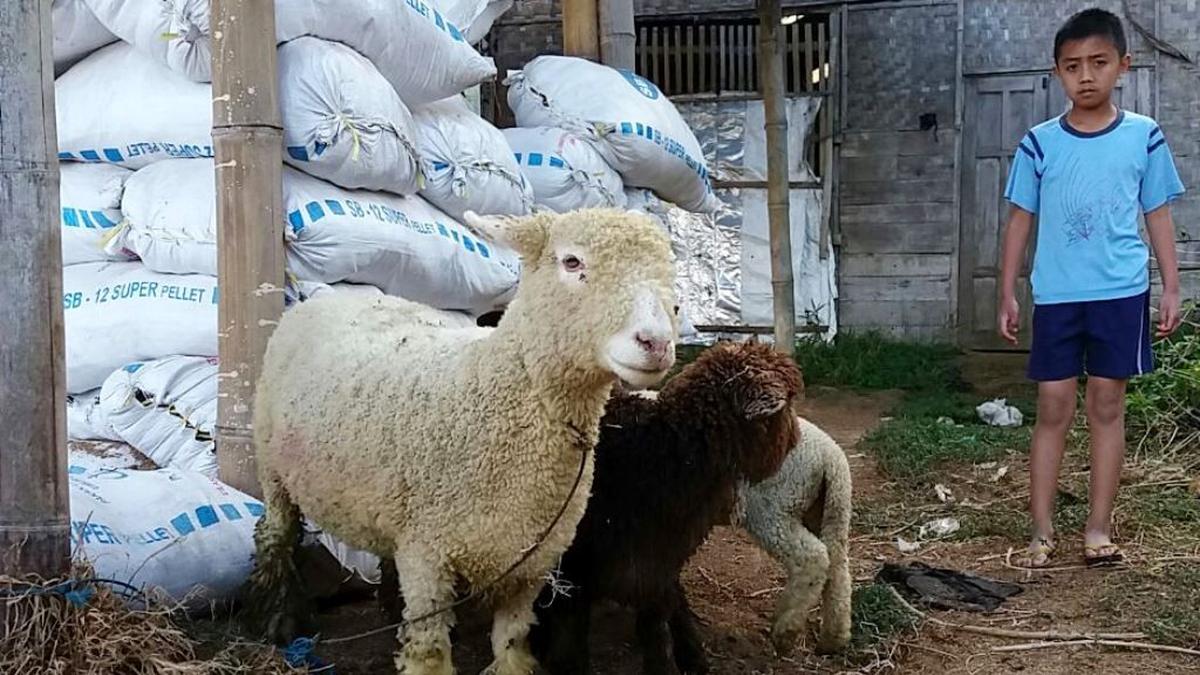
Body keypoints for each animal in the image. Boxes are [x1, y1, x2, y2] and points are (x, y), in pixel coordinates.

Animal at [245, 207, 680, 675]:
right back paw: (279, 619)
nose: (656, 343)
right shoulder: (427, 557)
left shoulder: (531, 562)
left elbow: (512, 641)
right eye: (571, 262)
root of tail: (326, 298)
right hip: (272, 465)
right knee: (274, 534)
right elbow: (430, 653)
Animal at [529, 341, 805, 675]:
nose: (795, 439)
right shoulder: (576, 567)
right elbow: (573, 645)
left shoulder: (658, 564)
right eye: (787, 405)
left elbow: (656, 629)